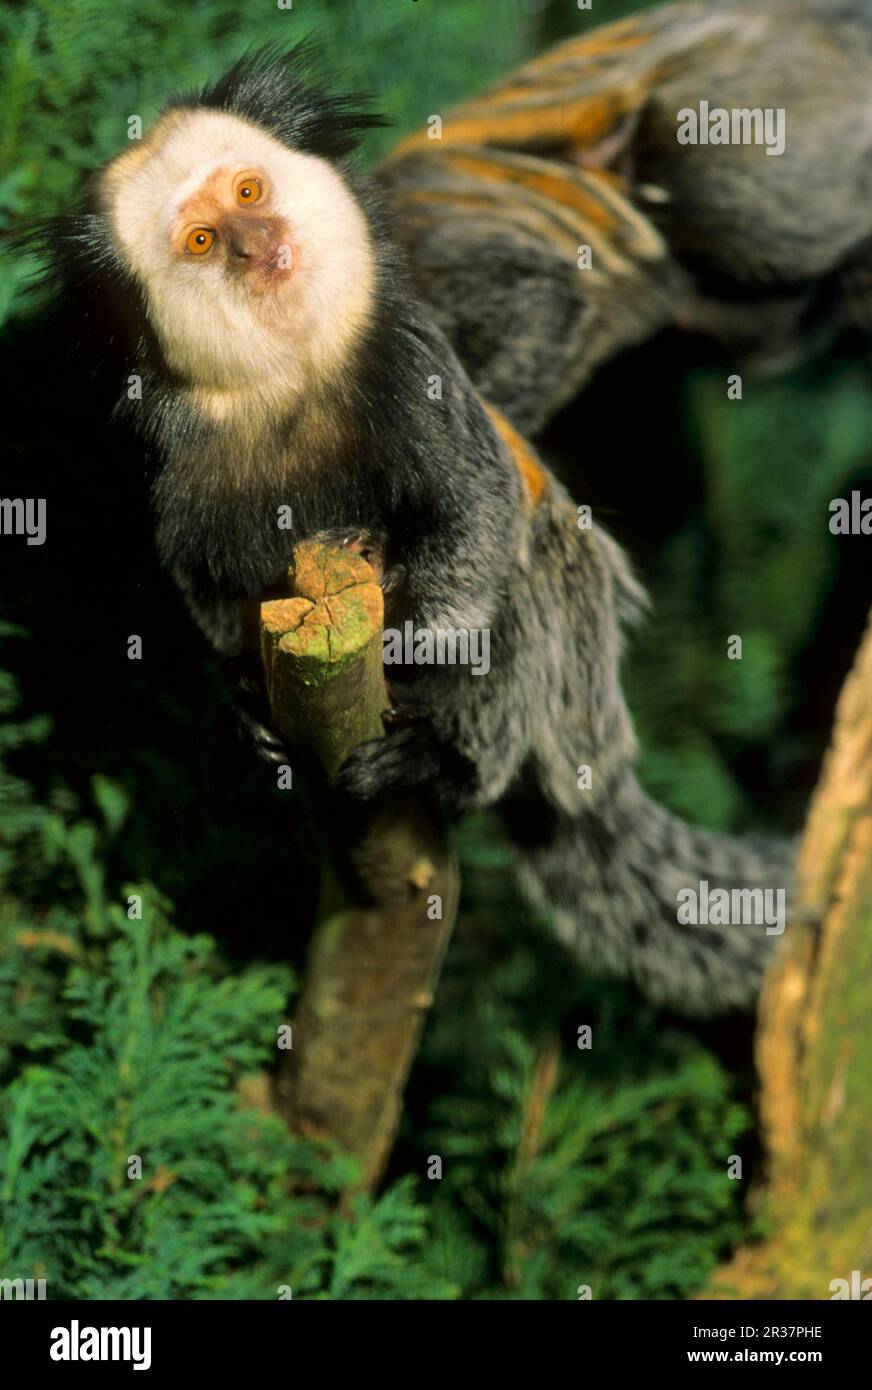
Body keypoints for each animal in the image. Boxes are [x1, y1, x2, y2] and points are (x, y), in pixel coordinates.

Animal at [50, 38, 794, 1017]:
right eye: (202, 241)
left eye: (249, 191)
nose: (258, 246)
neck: (287, 391)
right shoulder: (179, 468)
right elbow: (209, 587)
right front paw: (249, 700)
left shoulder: (415, 371)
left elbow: (478, 517)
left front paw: (415, 648)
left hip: (565, 683)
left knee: (526, 593)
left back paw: (444, 766)